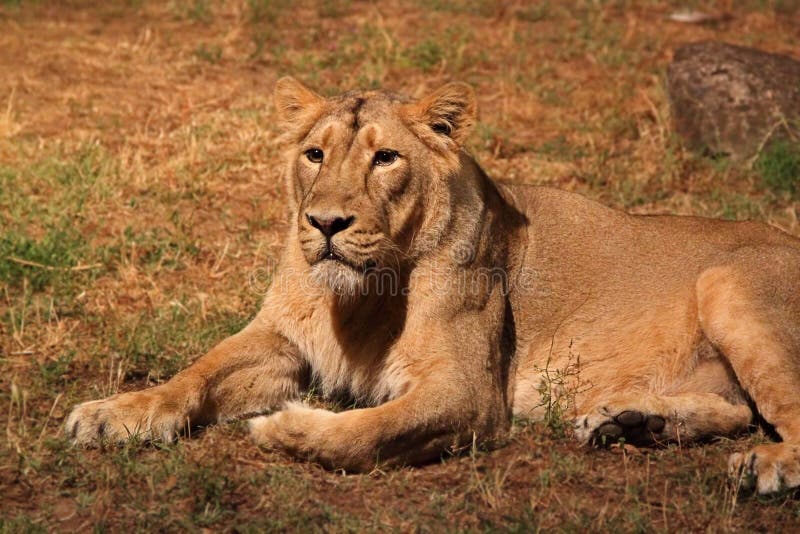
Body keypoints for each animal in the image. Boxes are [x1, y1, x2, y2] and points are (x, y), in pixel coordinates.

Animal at [66, 77, 800, 495]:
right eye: (314, 154)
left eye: (385, 158)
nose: (325, 223)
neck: (361, 296)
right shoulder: (279, 337)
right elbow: (195, 373)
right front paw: (114, 414)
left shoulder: (468, 392)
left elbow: (369, 432)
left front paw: (286, 427)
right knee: (735, 408)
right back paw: (629, 422)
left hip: (728, 285)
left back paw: (764, 468)